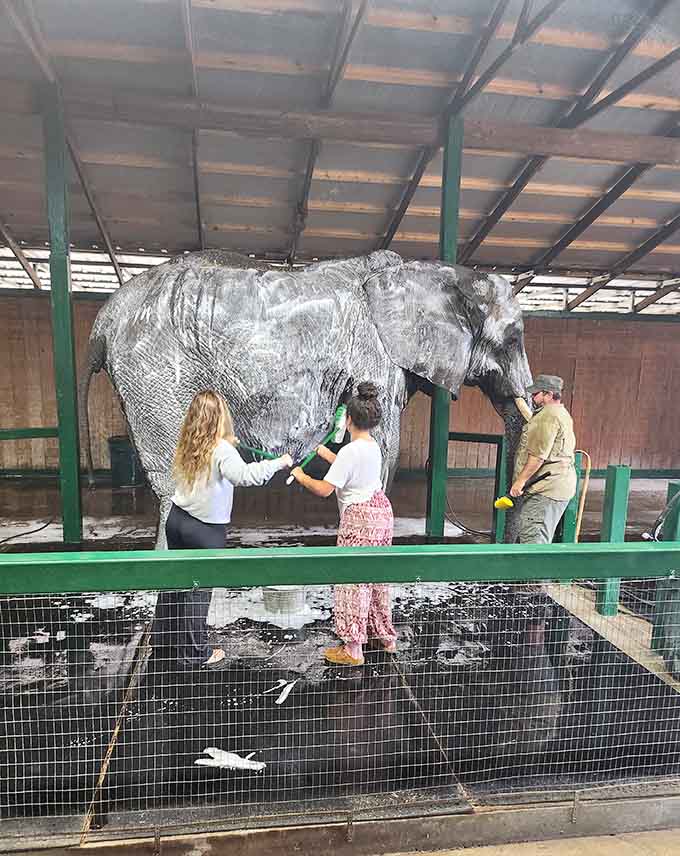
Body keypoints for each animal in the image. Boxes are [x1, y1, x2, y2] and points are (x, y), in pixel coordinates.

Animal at [81, 249, 532, 547]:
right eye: (514, 339)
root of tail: (103, 319)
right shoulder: (375, 356)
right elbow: (383, 451)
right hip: (155, 374)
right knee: (174, 480)